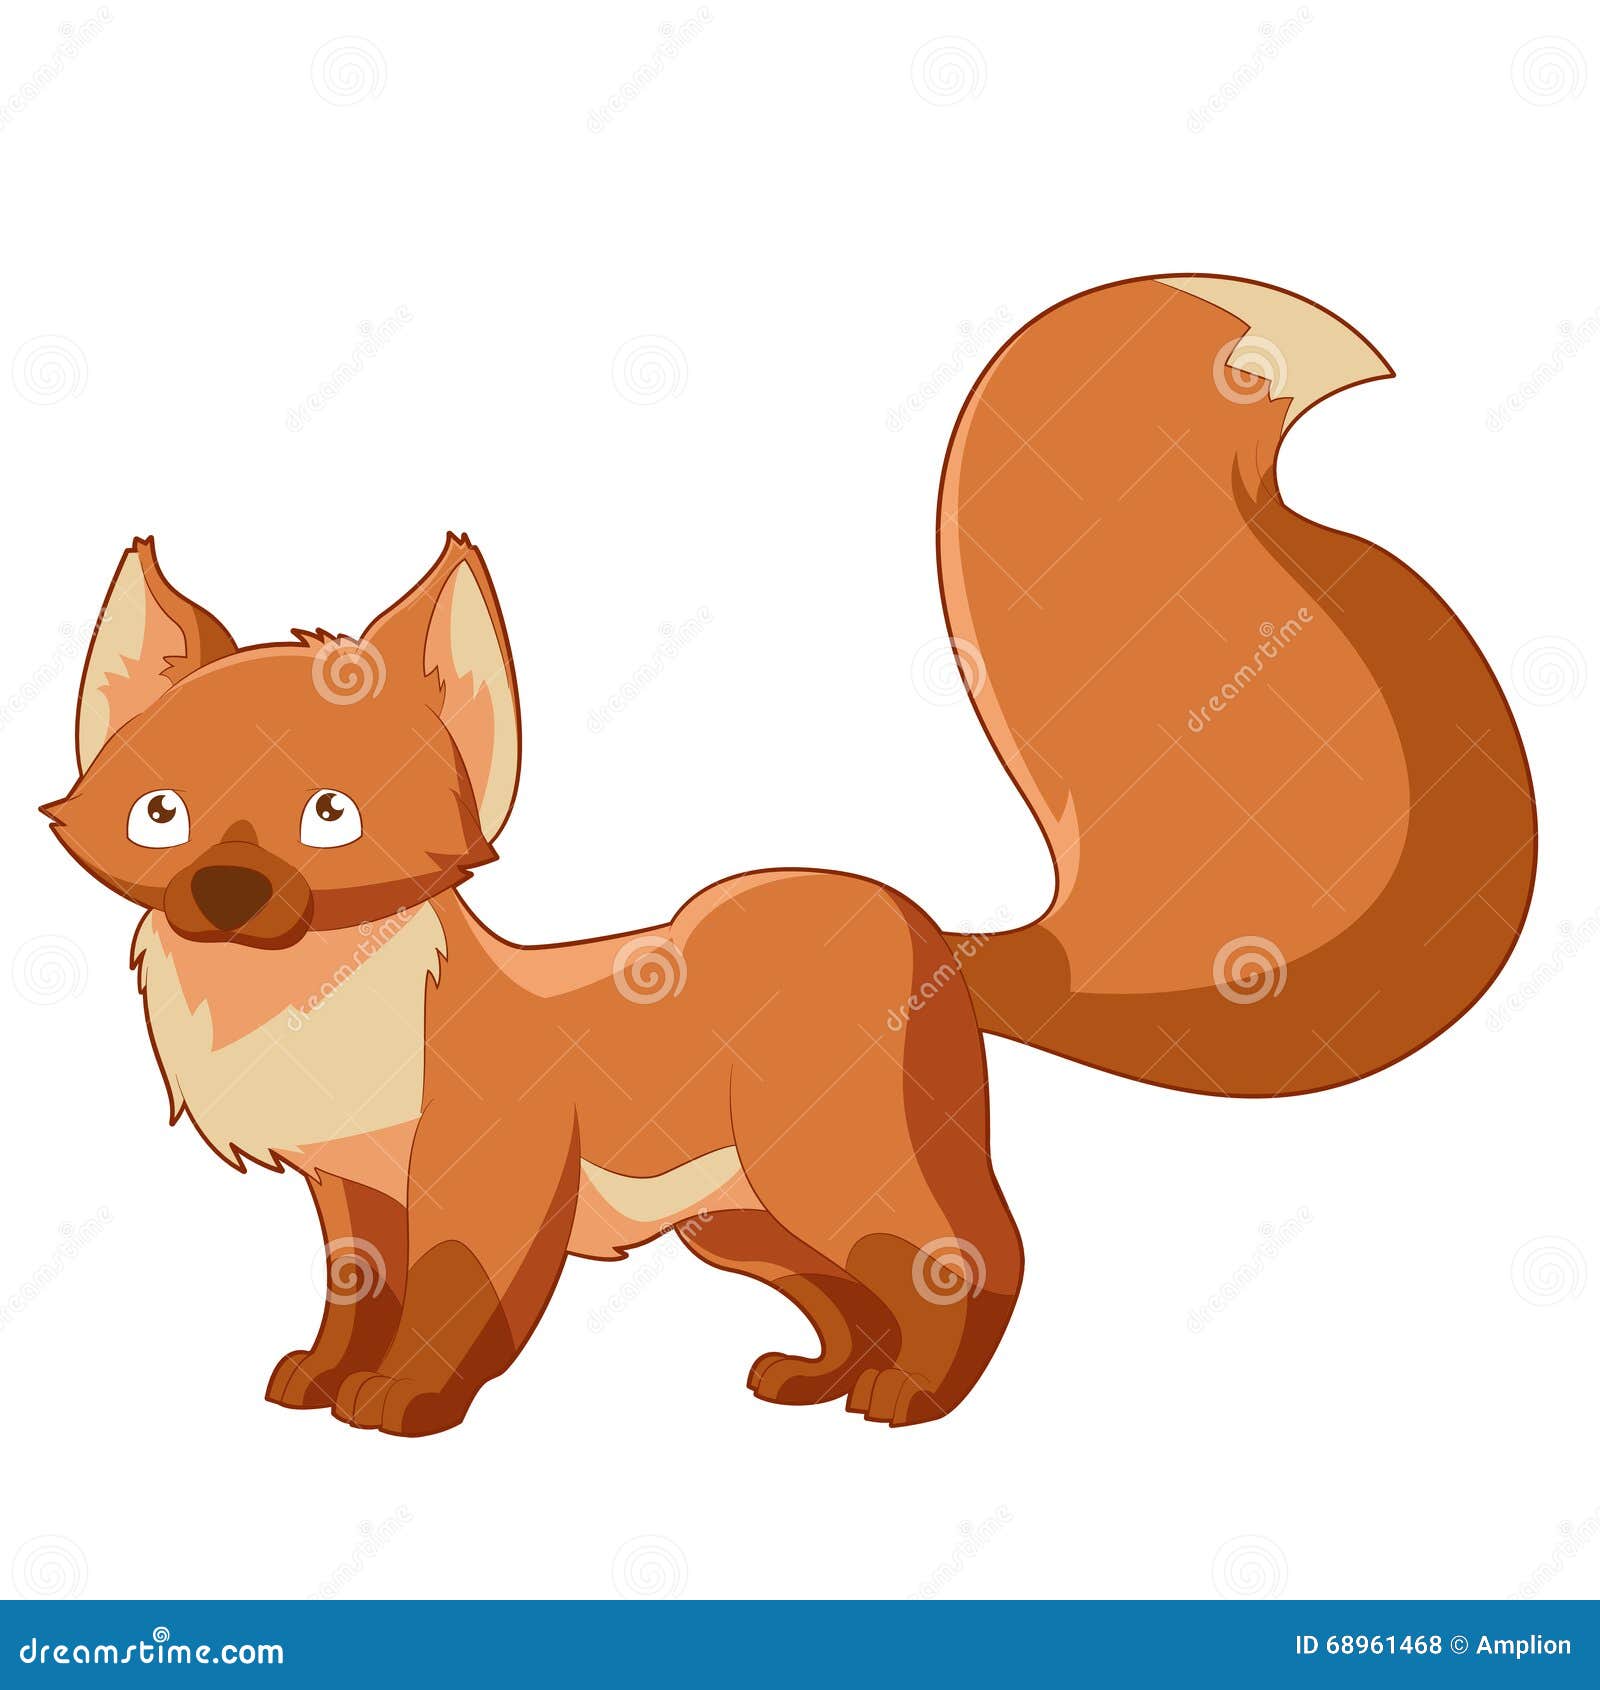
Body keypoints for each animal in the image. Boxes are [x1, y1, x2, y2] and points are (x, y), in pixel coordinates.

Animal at [46, 274, 1535, 1437]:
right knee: (866, 1289)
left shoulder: (485, 1184)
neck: (336, 1040)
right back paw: (824, 1379)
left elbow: (458, 1311)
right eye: (162, 815)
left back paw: (916, 1401)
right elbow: (354, 1303)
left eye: (332, 816)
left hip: (833, 1171)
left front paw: (406, 1405)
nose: (229, 890)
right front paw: (320, 1378)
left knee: (977, 1252)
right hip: (746, 1218)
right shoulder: (354, 1202)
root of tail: (930, 929)